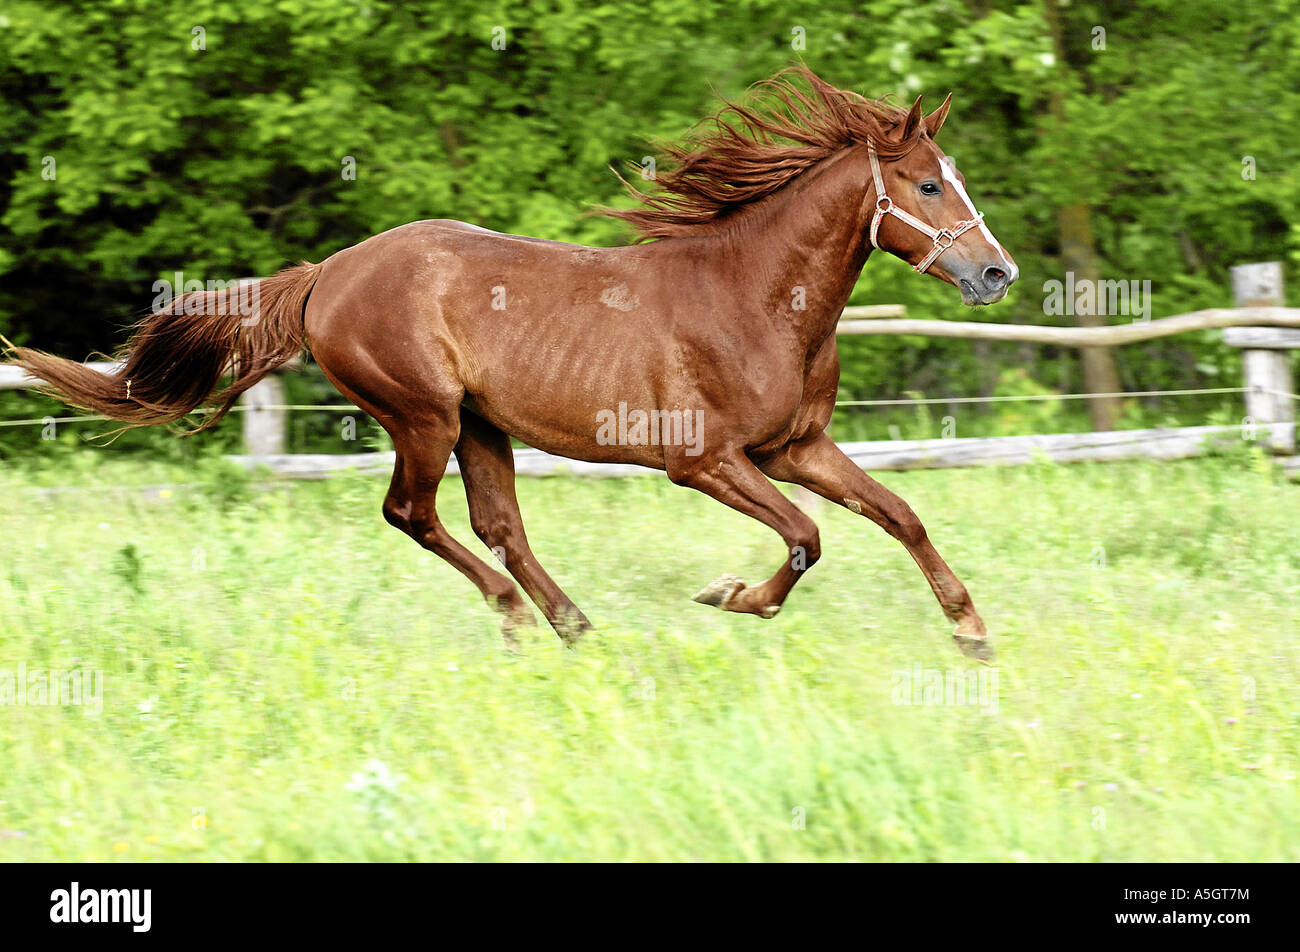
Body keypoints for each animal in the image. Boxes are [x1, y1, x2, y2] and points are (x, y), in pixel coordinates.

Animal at [7, 67, 1017, 660]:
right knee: (414, 515)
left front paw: (971, 631)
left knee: (498, 524)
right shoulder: (705, 462)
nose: (997, 272)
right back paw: (523, 618)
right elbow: (807, 537)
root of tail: (327, 274)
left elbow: (900, 513)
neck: (752, 298)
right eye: (929, 184)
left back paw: (573, 626)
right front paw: (730, 595)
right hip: (424, 415)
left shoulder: (795, 447)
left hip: (480, 425)